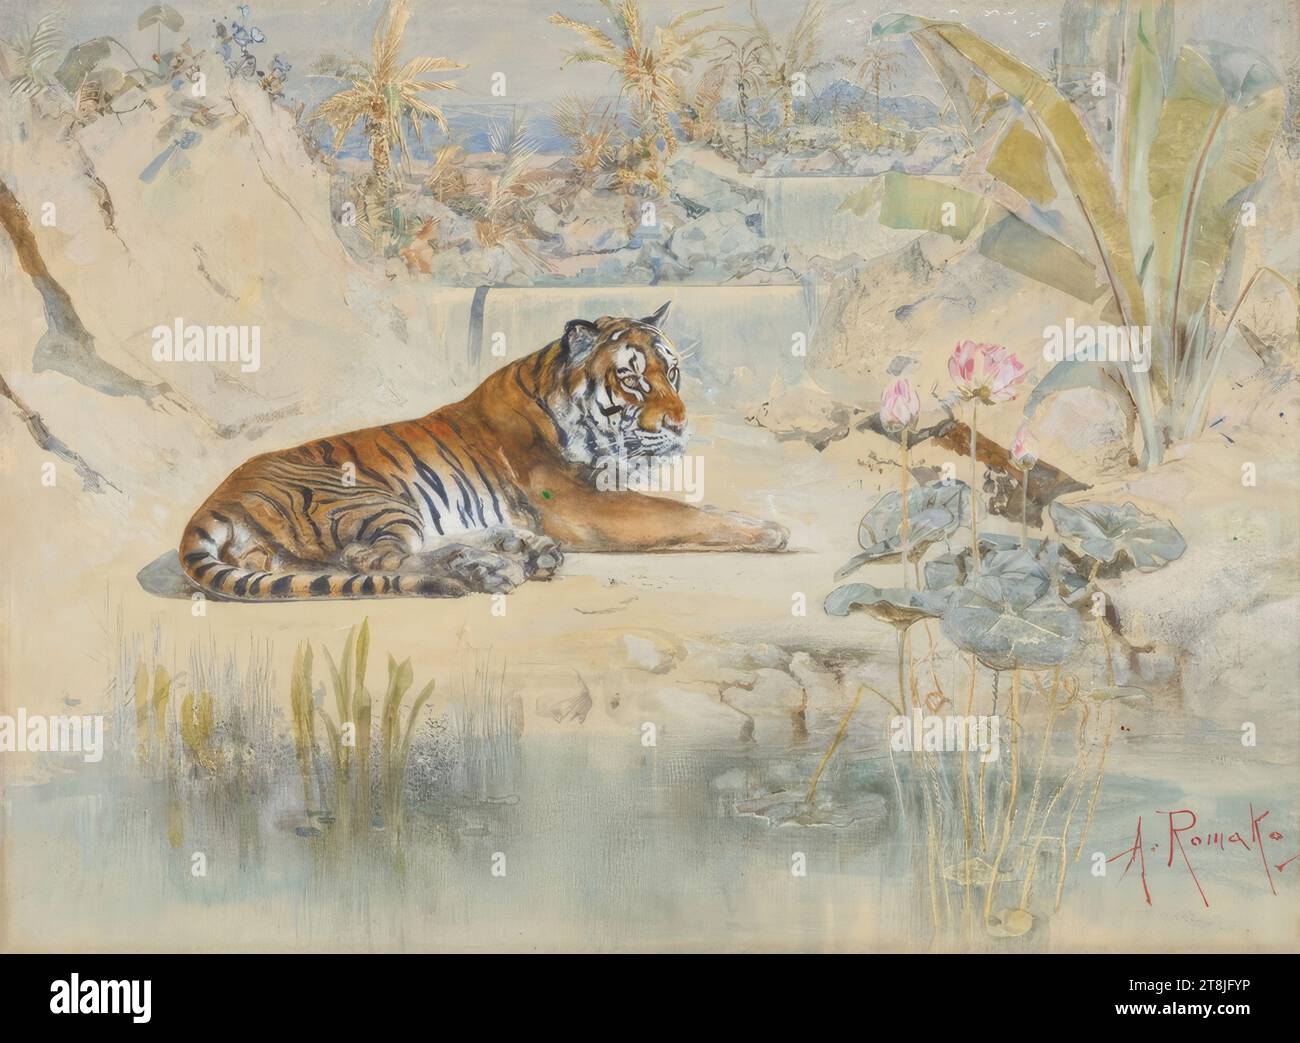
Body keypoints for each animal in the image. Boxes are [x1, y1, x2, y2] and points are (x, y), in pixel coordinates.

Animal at [178, 302, 789, 601]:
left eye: (673, 372)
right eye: (634, 379)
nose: (682, 425)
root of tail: (217, 498)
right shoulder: (581, 507)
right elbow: (685, 513)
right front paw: (770, 530)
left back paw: (516, 550)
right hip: (372, 500)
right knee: (369, 559)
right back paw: (490, 568)